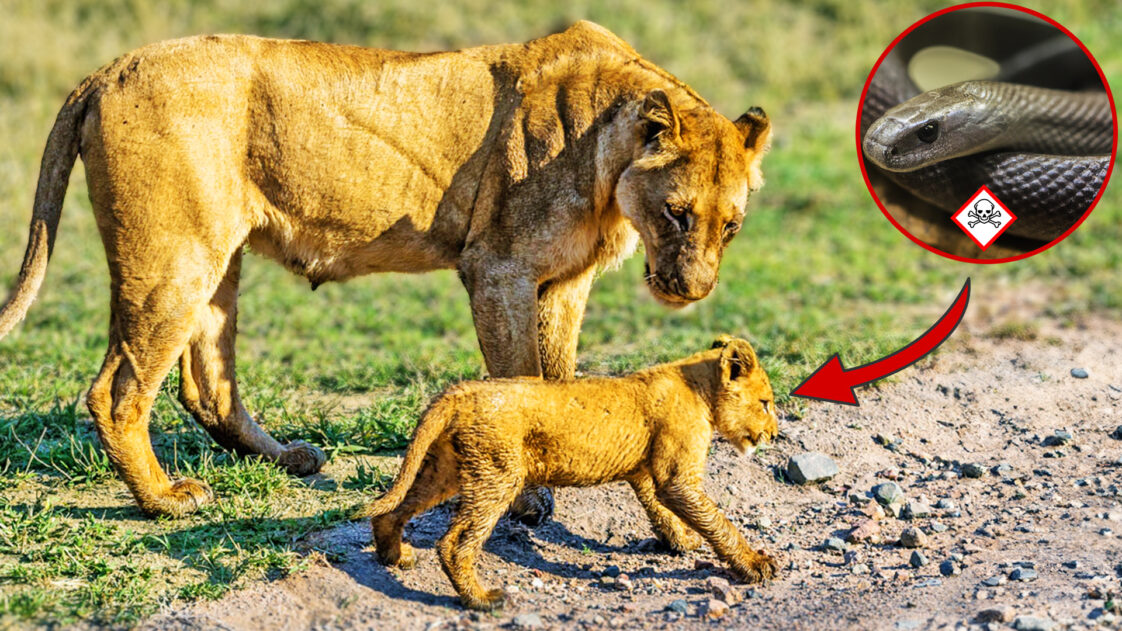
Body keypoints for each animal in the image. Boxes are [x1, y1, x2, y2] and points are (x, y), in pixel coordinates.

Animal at [0, 22, 771, 518]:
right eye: (676, 212)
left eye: (730, 224)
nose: (693, 290)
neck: (608, 155)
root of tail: (106, 71)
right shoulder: (497, 268)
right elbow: (518, 376)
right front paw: (528, 498)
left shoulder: (564, 282)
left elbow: (557, 379)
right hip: (172, 255)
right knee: (117, 391)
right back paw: (164, 501)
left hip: (217, 259)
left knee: (207, 385)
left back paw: (288, 457)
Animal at [360, 336, 780, 610]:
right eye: (765, 403)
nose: (774, 434)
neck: (699, 387)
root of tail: (458, 391)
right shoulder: (676, 477)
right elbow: (716, 520)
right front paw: (754, 564)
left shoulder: (645, 471)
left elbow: (659, 509)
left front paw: (681, 540)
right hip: (498, 474)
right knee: (455, 542)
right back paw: (482, 600)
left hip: (446, 470)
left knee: (392, 509)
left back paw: (394, 557)